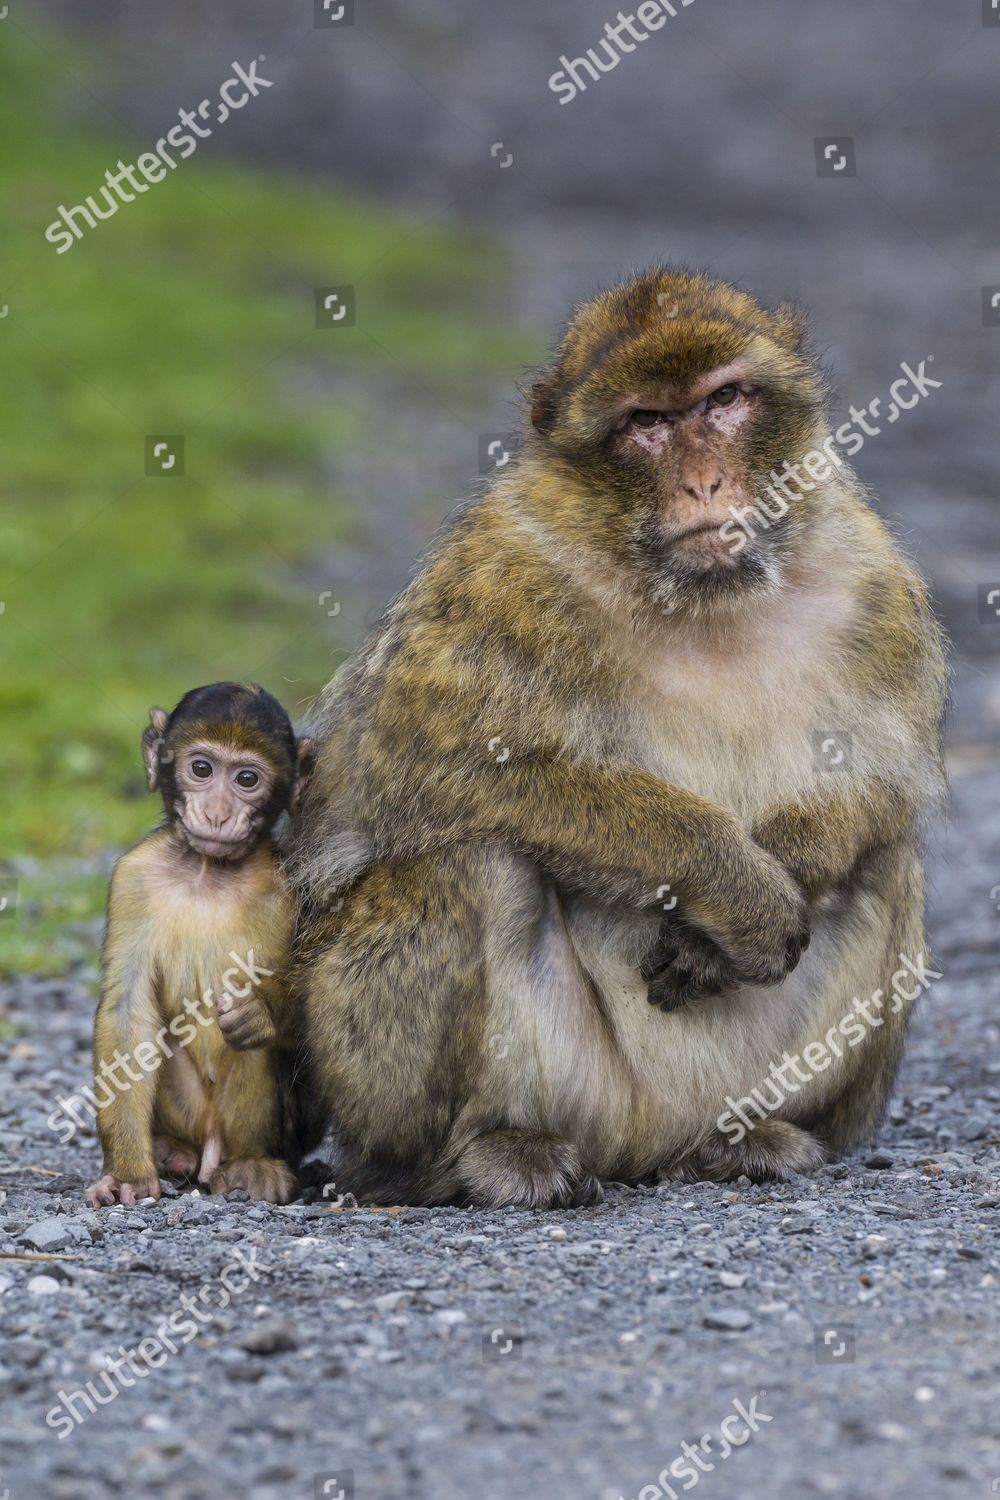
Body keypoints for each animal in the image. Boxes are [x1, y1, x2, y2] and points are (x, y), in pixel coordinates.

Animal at [85, 682, 317, 1208]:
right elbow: (129, 1011)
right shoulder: (132, 878)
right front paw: (128, 1173)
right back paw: (171, 1152)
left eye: (247, 778)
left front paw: (260, 1012)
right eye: (202, 769)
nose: (216, 812)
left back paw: (251, 1165)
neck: (208, 872)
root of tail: (211, 1141)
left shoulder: (293, 889)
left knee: (255, 1048)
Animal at [285, 266, 947, 1207]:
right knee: (469, 857)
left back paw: (748, 1141)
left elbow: (887, 781)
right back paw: (477, 1157)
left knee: (888, 860)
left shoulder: (874, 581)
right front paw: (734, 883)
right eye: (647, 423)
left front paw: (782, 867)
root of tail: (650, 1147)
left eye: (723, 400)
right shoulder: (499, 576)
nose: (703, 484)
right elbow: (431, 778)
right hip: (503, 1092)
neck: (700, 598)